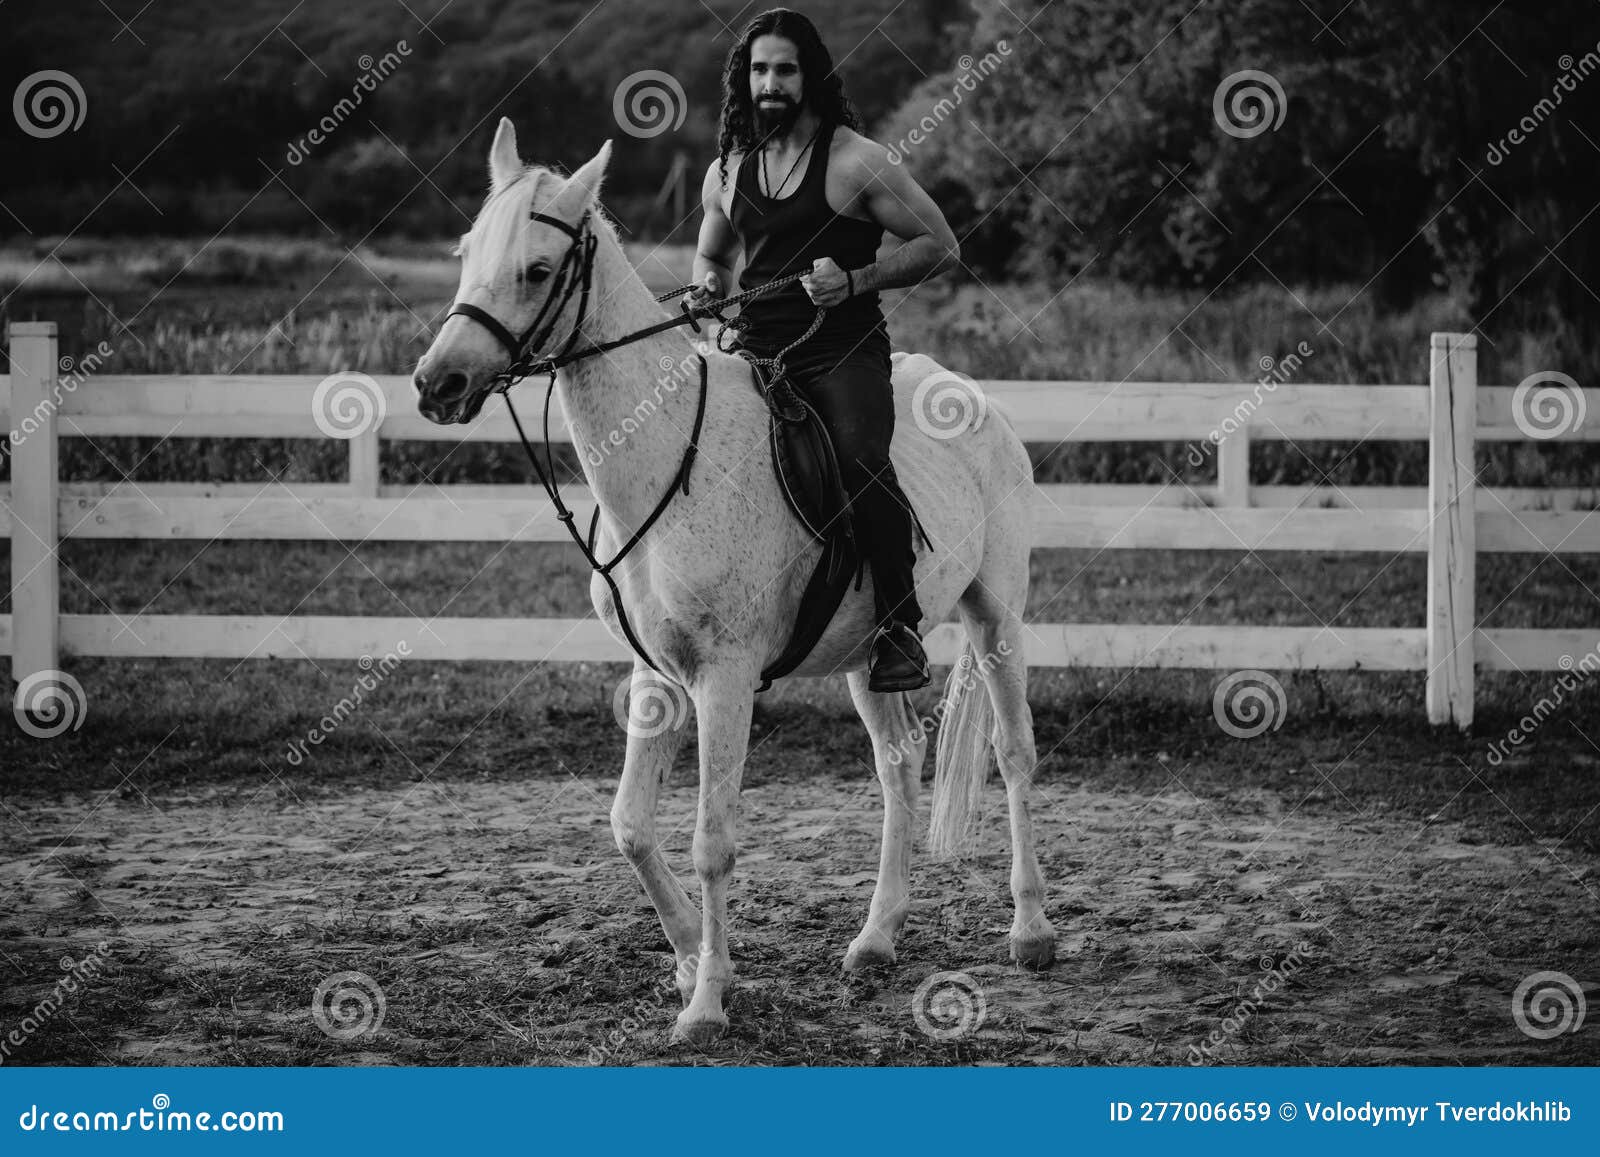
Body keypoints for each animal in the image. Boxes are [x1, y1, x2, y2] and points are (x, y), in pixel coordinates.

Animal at [413, 119, 1055, 1044]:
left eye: (536, 270)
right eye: (466, 253)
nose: (439, 384)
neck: (666, 458)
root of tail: (974, 395)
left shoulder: (724, 676)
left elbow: (711, 840)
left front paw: (708, 1001)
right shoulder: (656, 674)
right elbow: (630, 825)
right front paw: (689, 957)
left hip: (995, 615)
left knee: (1013, 752)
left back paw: (1031, 928)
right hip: (871, 655)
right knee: (898, 765)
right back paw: (876, 937)